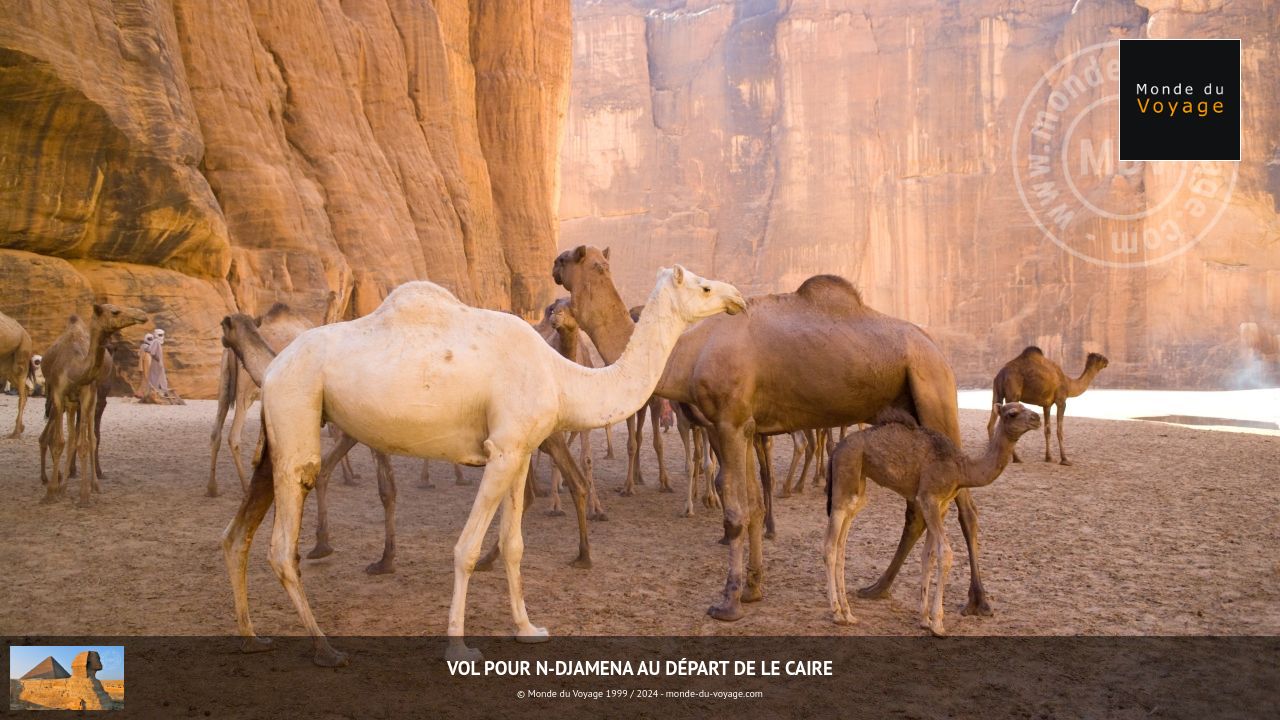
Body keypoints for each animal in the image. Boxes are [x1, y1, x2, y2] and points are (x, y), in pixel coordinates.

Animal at [0, 310, 34, 438]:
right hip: (6, 368)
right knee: (26, 389)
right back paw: (20, 429)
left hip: (21, 361)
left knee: (23, 394)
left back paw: (15, 433)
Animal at [39, 303, 146, 504]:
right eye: (115, 312)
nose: (142, 314)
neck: (74, 368)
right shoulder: (58, 394)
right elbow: (59, 442)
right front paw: (51, 493)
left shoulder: (88, 394)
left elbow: (85, 443)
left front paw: (84, 496)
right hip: (69, 403)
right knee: (68, 438)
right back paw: (61, 486)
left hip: (85, 402)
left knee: (88, 438)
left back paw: (90, 485)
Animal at [225, 266, 747, 666]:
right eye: (703, 287)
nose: (739, 298)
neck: (561, 376)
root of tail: (273, 367)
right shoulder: (503, 451)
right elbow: (467, 548)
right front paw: (459, 647)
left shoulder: (518, 451)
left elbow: (513, 546)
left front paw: (527, 627)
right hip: (296, 412)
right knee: (280, 544)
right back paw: (325, 648)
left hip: (278, 433)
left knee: (235, 536)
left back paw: (251, 638)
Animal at [555, 243, 983, 620]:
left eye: (576, 257)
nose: (555, 264)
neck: (688, 353)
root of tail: (938, 350)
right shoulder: (744, 427)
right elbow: (755, 507)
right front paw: (753, 588)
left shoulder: (727, 422)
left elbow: (735, 512)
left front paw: (727, 602)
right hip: (909, 414)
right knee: (916, 509)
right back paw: (878, 587)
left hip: (934, 395)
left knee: (965, 504)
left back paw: (977, 601)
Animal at [819, 404, 1039, 632]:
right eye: (1012, 413)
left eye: (1024, 406)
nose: (1037, 418)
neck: (961, 469)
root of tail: (836, 451)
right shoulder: (928, 498)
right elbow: (946, 553)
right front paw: (938, 623)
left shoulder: (942, 506)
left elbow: (929, 556)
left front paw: (925, 619)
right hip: (845, 475)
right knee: (830, 545)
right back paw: (837, 613)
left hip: (857, 485)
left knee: (842, 544)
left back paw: (849, 613)